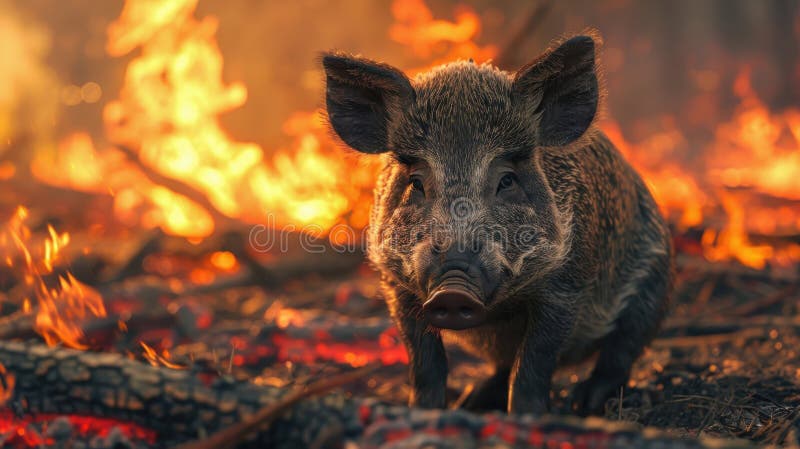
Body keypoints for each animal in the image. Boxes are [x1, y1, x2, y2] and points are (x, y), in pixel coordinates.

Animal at [321, 33, 673, 416]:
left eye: (506, 180)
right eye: (416, 182)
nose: (453, 287)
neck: (501, 311)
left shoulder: (566, 287)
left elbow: (534, 362)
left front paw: (528, 415)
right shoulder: (397, 288)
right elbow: (425, 362)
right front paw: (426, 411)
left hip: (653, 284)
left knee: (621, 352)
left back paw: (586, 402)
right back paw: (471, 400)